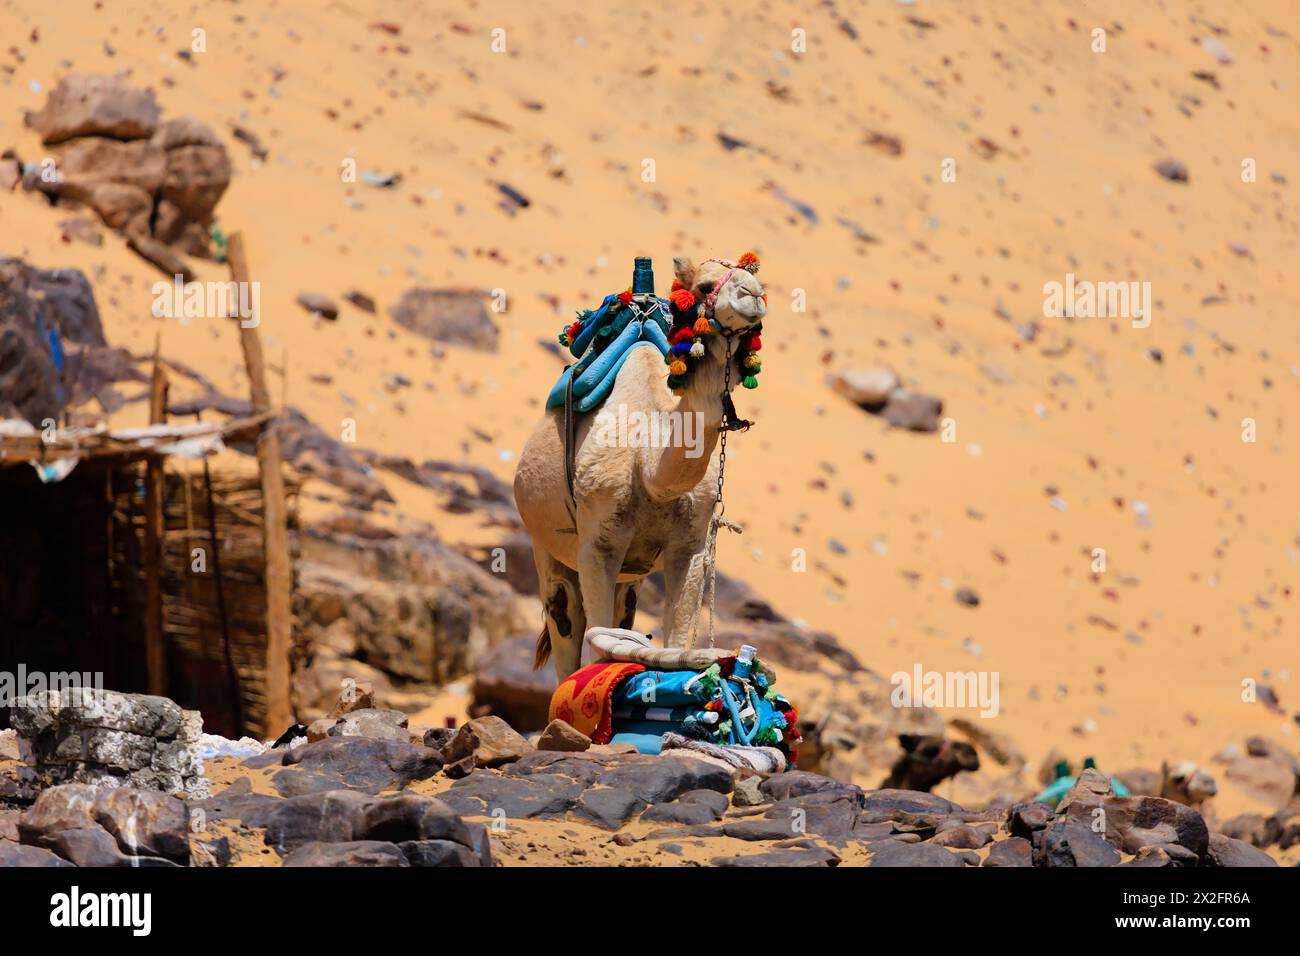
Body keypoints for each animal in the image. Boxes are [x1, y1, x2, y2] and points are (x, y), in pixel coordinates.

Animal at [513, 255, 766, 681]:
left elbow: (677, 638)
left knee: (624, 609)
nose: (753, 295)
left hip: (629, 578)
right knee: (565, 620)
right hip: (546, 547)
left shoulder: (690, 547)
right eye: (704, 285)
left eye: (755, 279)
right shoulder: (596, 546)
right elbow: (598, 646)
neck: (649, 468)